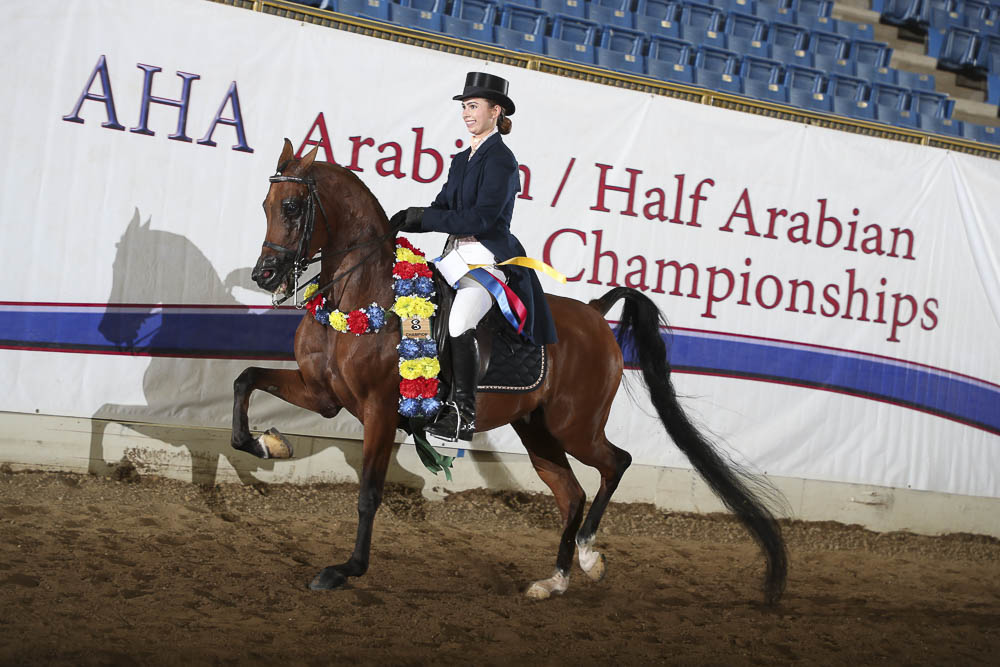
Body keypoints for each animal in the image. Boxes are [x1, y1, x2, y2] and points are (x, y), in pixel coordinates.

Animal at [231, 139, 788, 603]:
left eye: (292, 206)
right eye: (265, 206)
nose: (265, 275)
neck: (361, 293)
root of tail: (595, 315)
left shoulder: (379, 411)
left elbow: (369, 494)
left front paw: (344, 570)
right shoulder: (322, 394)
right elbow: (245, 381)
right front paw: (269, 444)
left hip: (574, 426)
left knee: (616, 463)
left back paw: (590, 555)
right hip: (538, 431)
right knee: (572, 494)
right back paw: (555, 581)